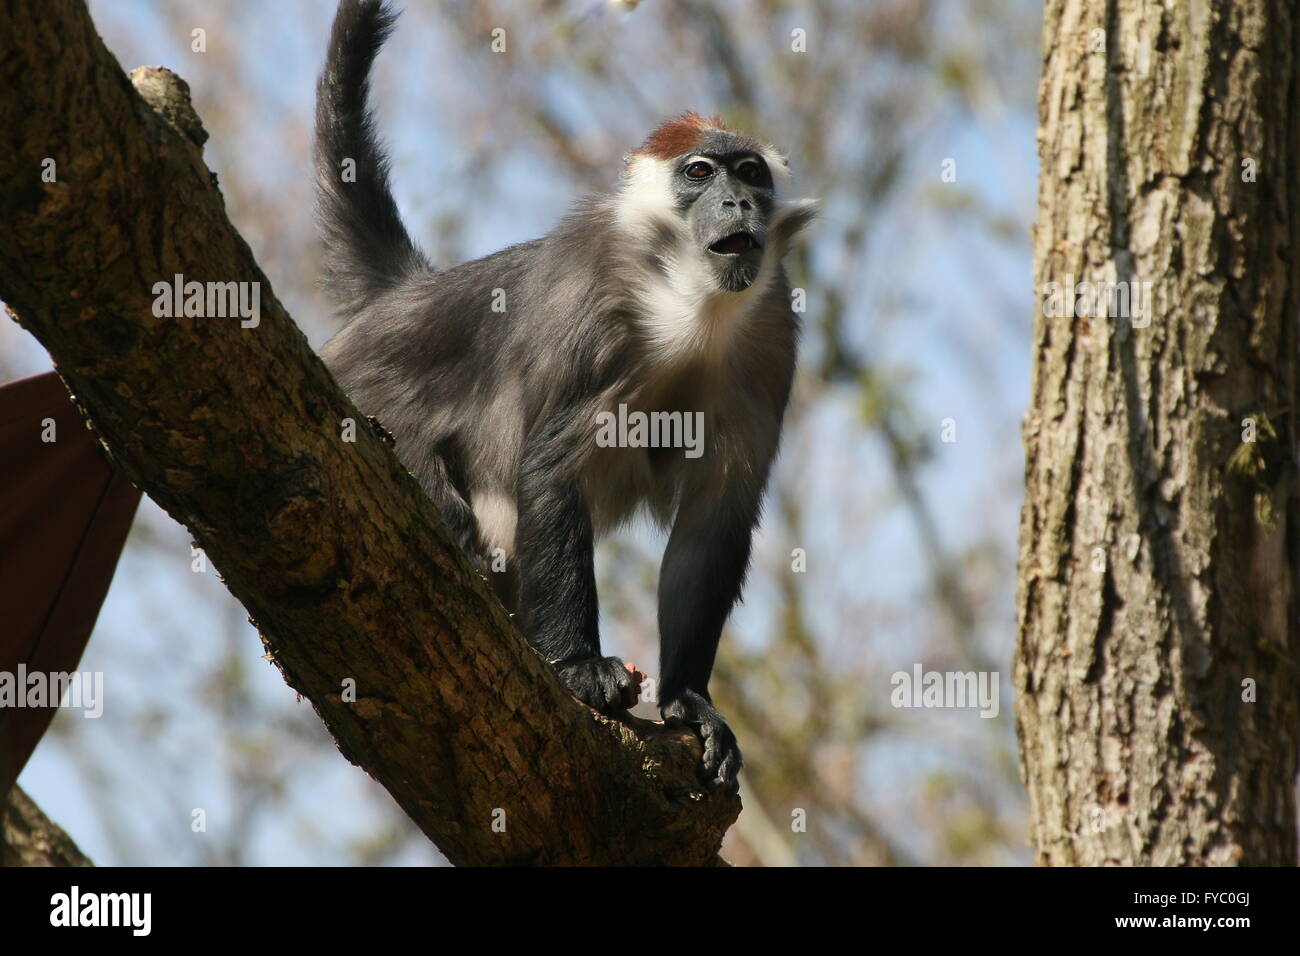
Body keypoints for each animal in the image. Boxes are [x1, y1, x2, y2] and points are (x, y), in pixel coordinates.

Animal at [314, 0, 816, 789]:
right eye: (699, 173)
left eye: (750, 173)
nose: (738, 200)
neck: (688, 311)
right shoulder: (594, 310)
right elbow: (553, 468)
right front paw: (581, 665)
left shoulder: (769, 342)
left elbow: (714, 520)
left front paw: (688, 699)